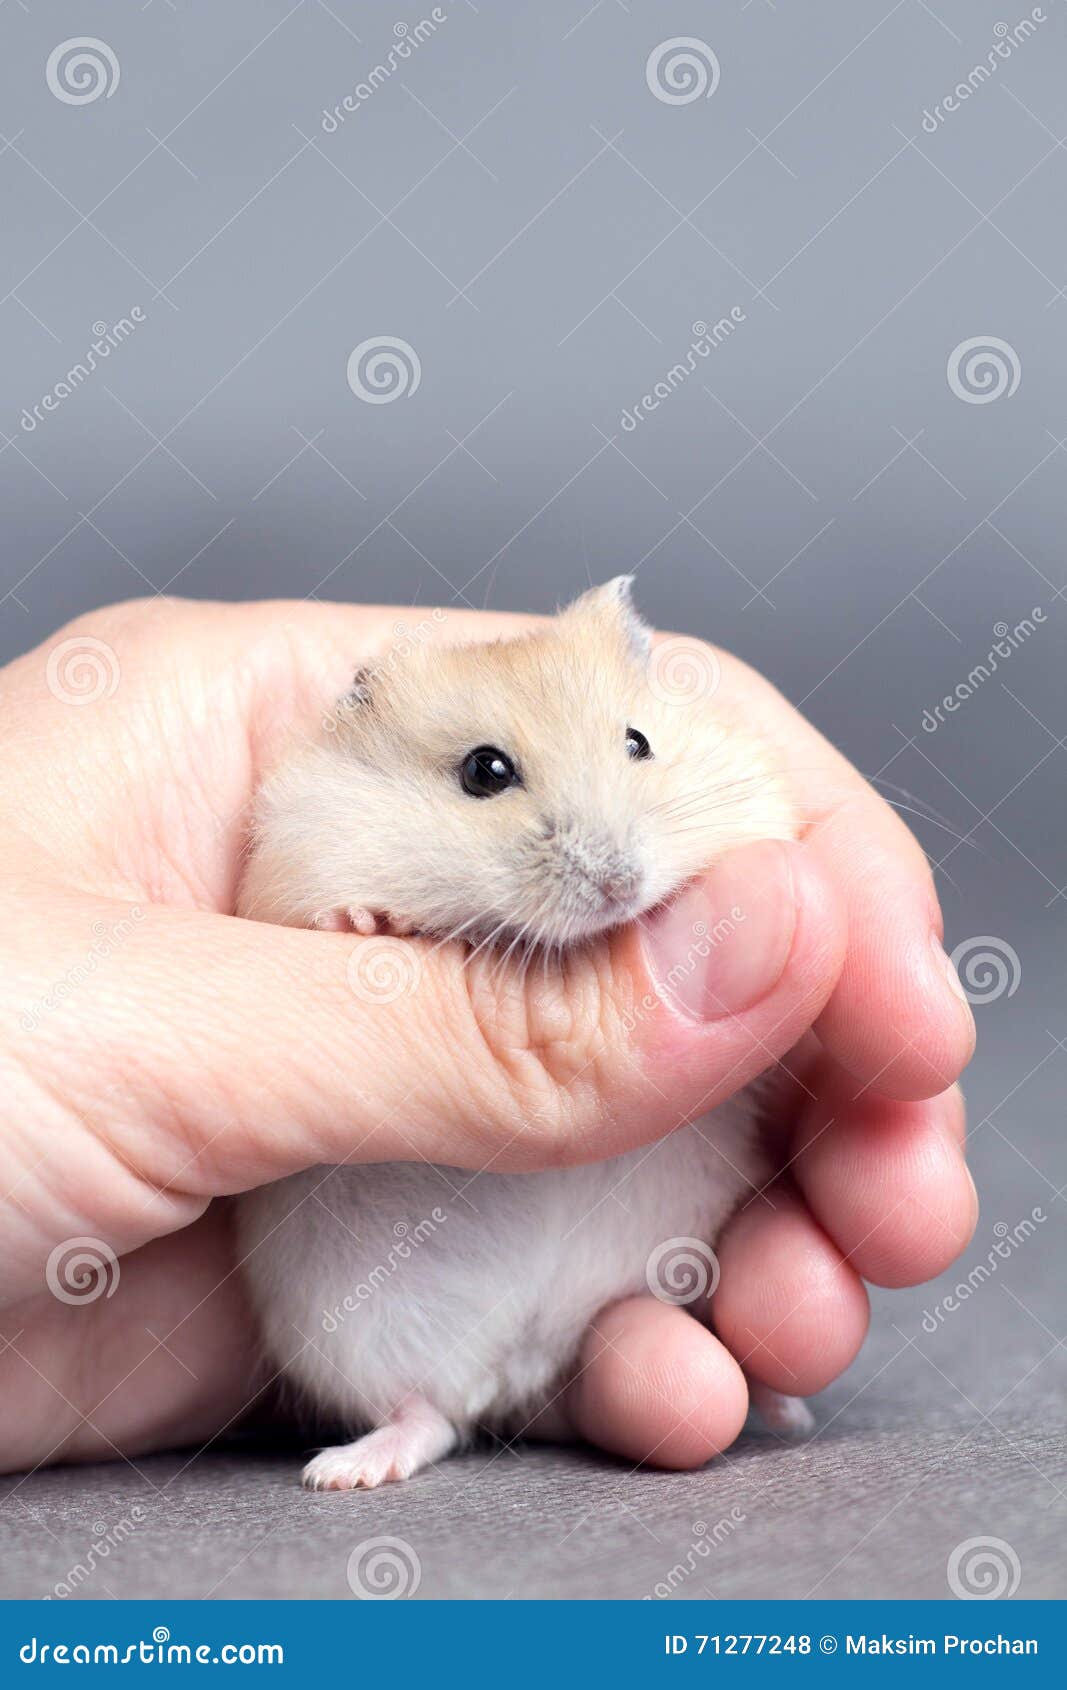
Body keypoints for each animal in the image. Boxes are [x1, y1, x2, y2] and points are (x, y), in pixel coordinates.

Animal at [235, 579, 812, 1490]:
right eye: (485, 771)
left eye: (639, 741)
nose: (620, 884)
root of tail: (526, 1359)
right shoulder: (288, 867)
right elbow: (326, 912)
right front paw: (369, 924)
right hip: (344, 1325)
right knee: (426, 1416)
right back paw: (343, 1473)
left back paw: (786, 1405)